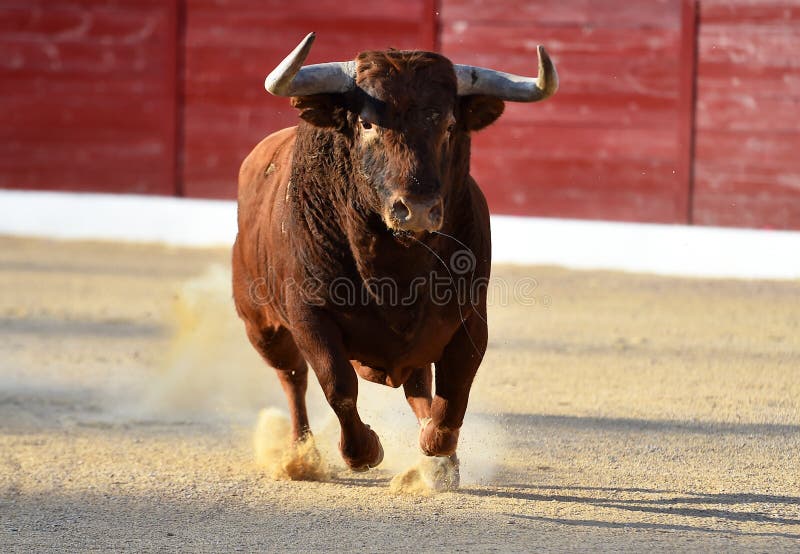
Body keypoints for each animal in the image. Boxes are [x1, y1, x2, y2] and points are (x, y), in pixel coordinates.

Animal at [232, 33, 557, 482]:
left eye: (449, 125)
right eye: (368, 123)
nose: (416, 209)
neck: (396, 265)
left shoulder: (471, 318)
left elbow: (454, 390)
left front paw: (440, 454)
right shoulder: (307, 314)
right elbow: (337, 382)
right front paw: (362, 451)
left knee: (417, 388)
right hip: (262, 327)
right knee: (293, 378)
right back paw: (300, 454)